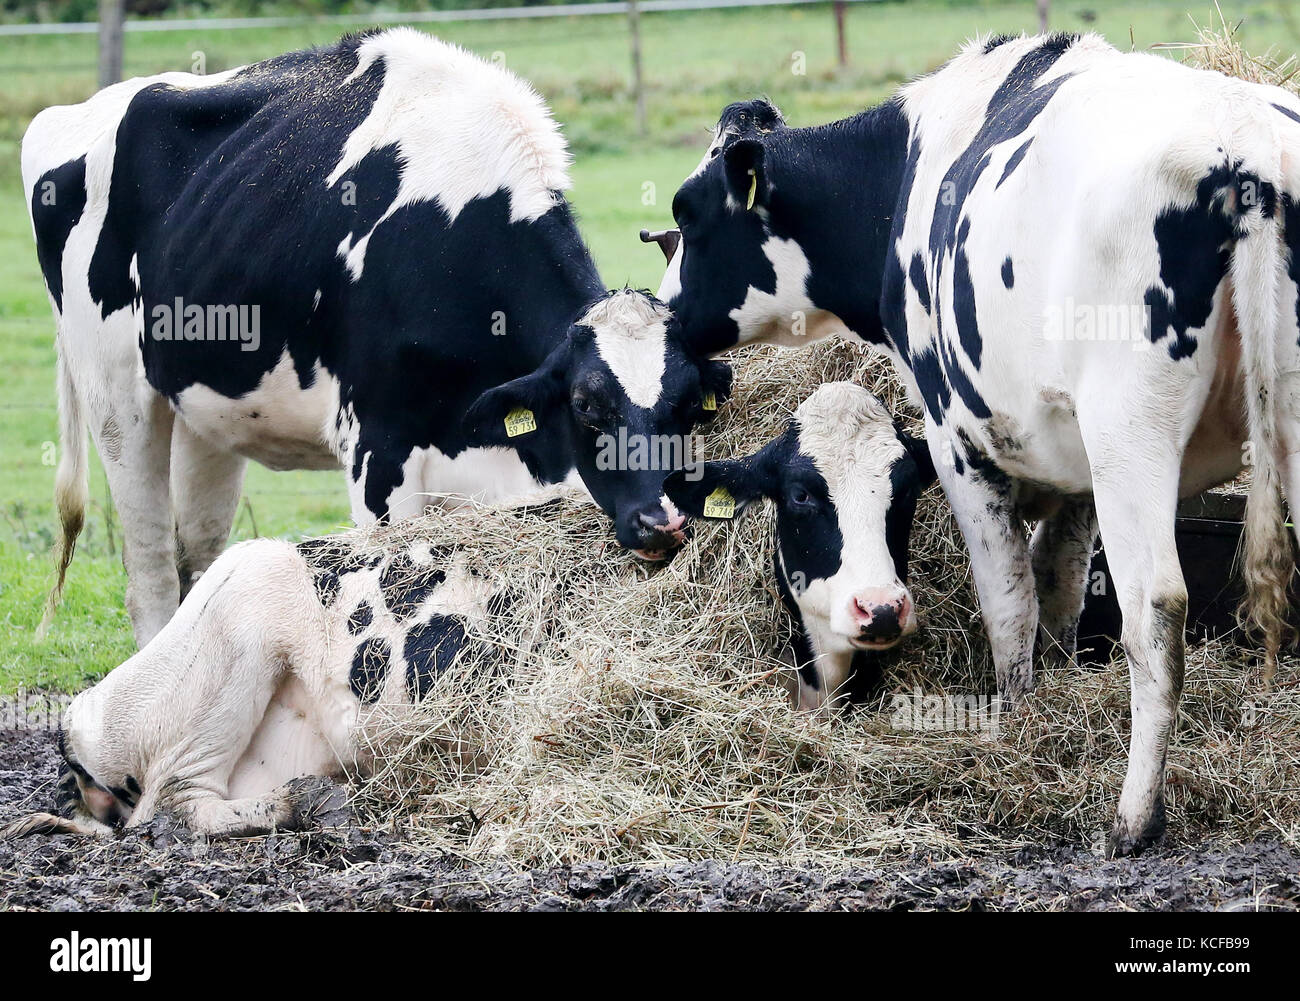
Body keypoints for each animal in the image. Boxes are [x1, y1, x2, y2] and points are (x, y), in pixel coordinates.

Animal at [24, 29, 728, 647]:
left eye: (691, 403)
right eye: (587, 405)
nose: (663, 520)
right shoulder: (377, 451)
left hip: (205, 407)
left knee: (195, 554)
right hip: (117, 397)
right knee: (149, 577)